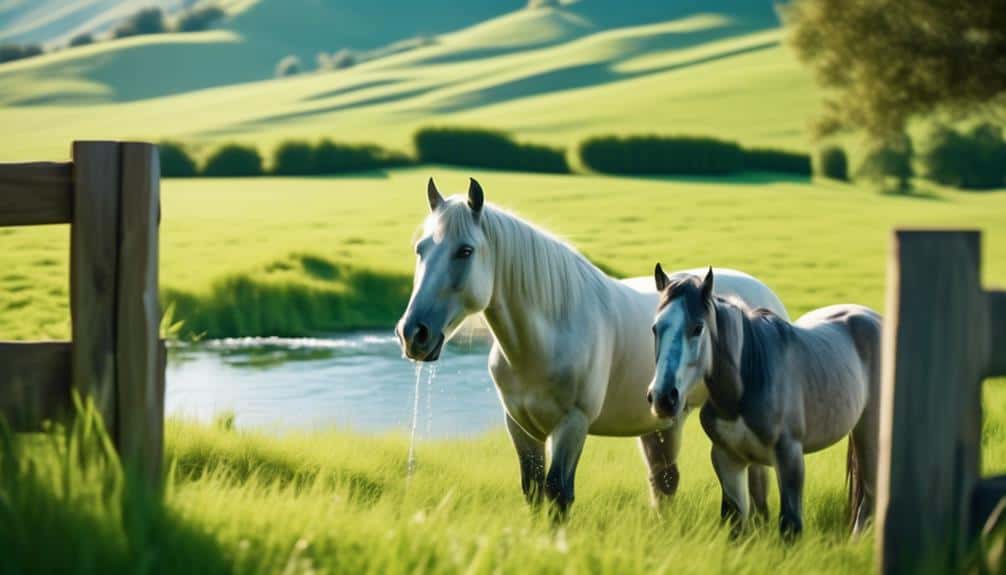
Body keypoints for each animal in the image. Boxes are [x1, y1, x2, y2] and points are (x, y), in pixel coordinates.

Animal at [396, 177, 789, 519]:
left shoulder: (573, 423)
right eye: (420, 249)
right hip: (663, 423)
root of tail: (765, 297)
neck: (545, 337)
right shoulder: (520, 425)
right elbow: (532, 489)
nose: (413, 333)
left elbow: (558, 492)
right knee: (664, 480)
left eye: (465, 250)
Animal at [647, 266, 880, 538]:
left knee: (870, 497)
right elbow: (735, 521)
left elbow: (790, 524)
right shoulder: (727, 459)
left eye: (697, 328)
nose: (663, 398)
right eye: (655, 328)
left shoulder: (790, 458)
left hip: (869, 433)